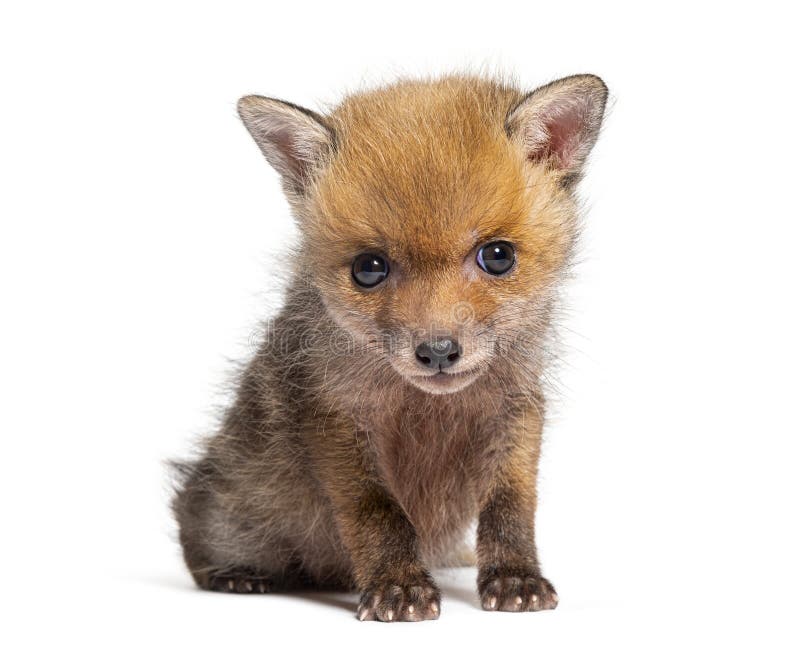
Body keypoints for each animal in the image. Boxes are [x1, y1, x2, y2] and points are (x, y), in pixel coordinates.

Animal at [172, 73, 608, 622]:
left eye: (498, 256)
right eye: (369, 268)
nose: (438, 351)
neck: (427, 408)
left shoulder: (517, 409)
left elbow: (510, 506)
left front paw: (514, 577)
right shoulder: (335, 418)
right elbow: (378, 513)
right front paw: (398, 586)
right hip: (226, 515)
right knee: (190, 523)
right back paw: (233, 573)